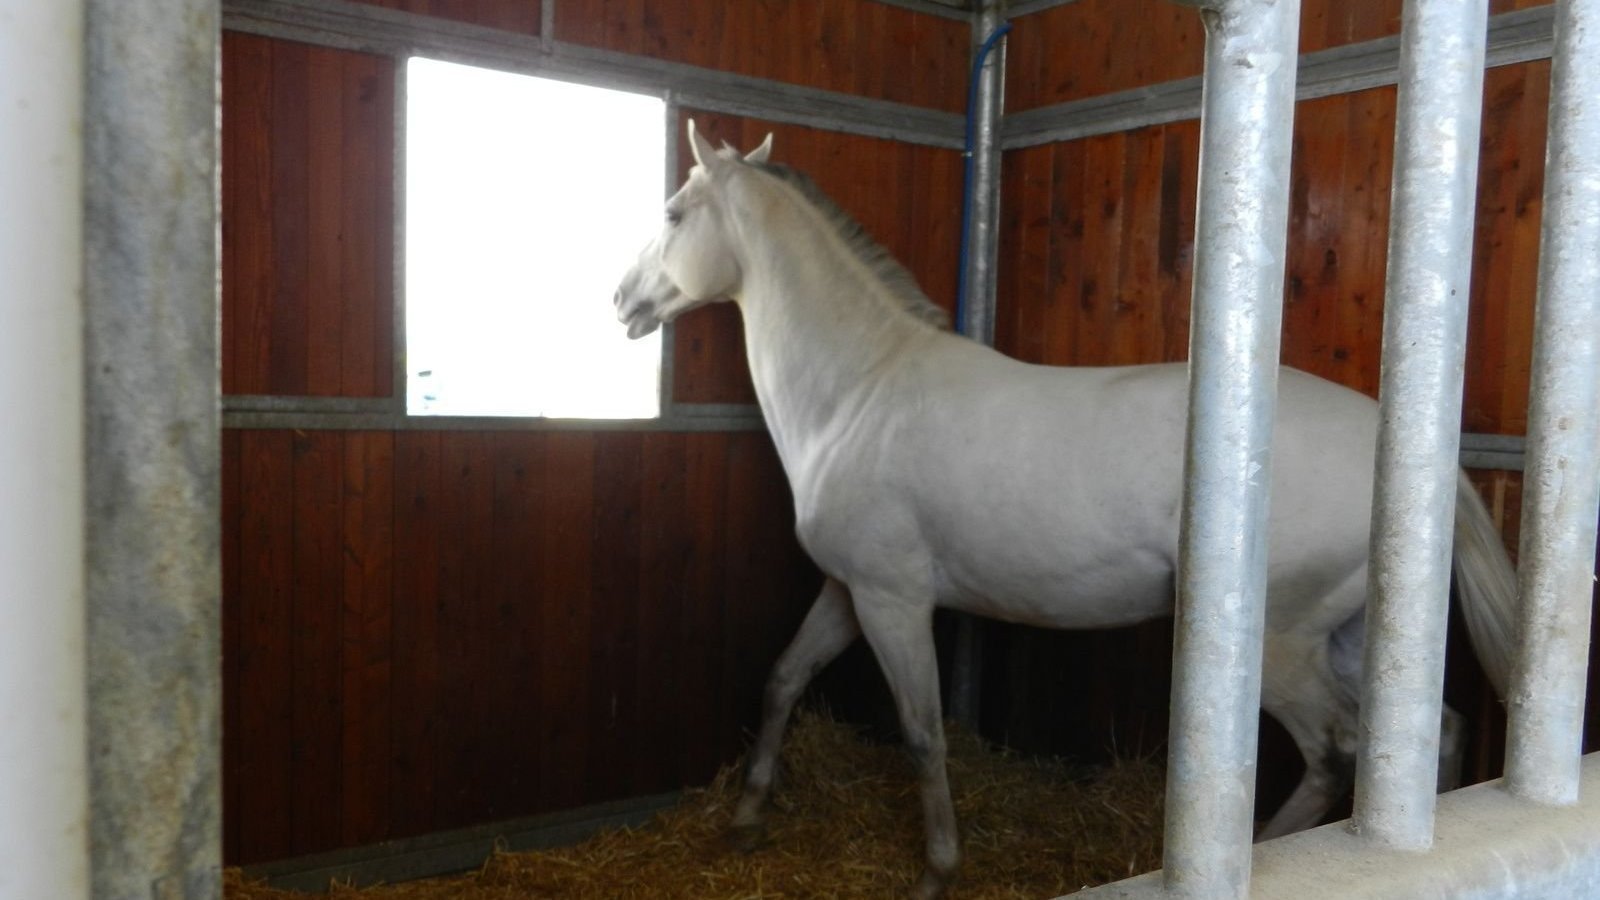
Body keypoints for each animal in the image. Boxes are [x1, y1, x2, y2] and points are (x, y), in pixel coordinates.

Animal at [612, 121, 1518, 899]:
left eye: (674, 212)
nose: (622, 300)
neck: (861, 390)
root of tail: (1408, 453)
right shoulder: (847, 590)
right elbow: (783, 680)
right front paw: (745, 819)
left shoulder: (892, 602)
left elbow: (923, 732)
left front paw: (936, 870)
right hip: (1356, 639)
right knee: (1428, 732)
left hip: (1284, 646)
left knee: (1333, 751)